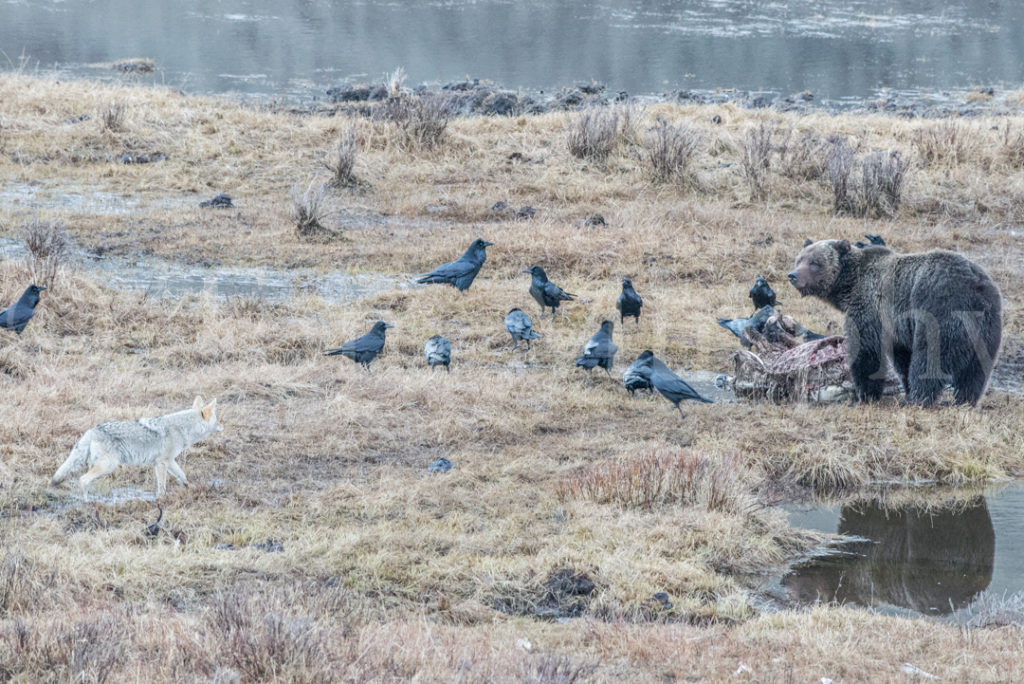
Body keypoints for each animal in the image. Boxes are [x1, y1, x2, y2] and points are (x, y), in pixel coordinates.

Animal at [788, 239, 1002, 406]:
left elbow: (866, 351)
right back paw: (965, 400)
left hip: (939, 311)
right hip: (987, 325)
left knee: (929, 359)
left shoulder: (870, 308)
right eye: (799, 259)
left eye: (815, 263)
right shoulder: (898, 328)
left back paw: (917, 399)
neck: (848, 286)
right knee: (976, 369)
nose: (793, 275)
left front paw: (864, 395)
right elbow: (902, 358)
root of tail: (974, 287)